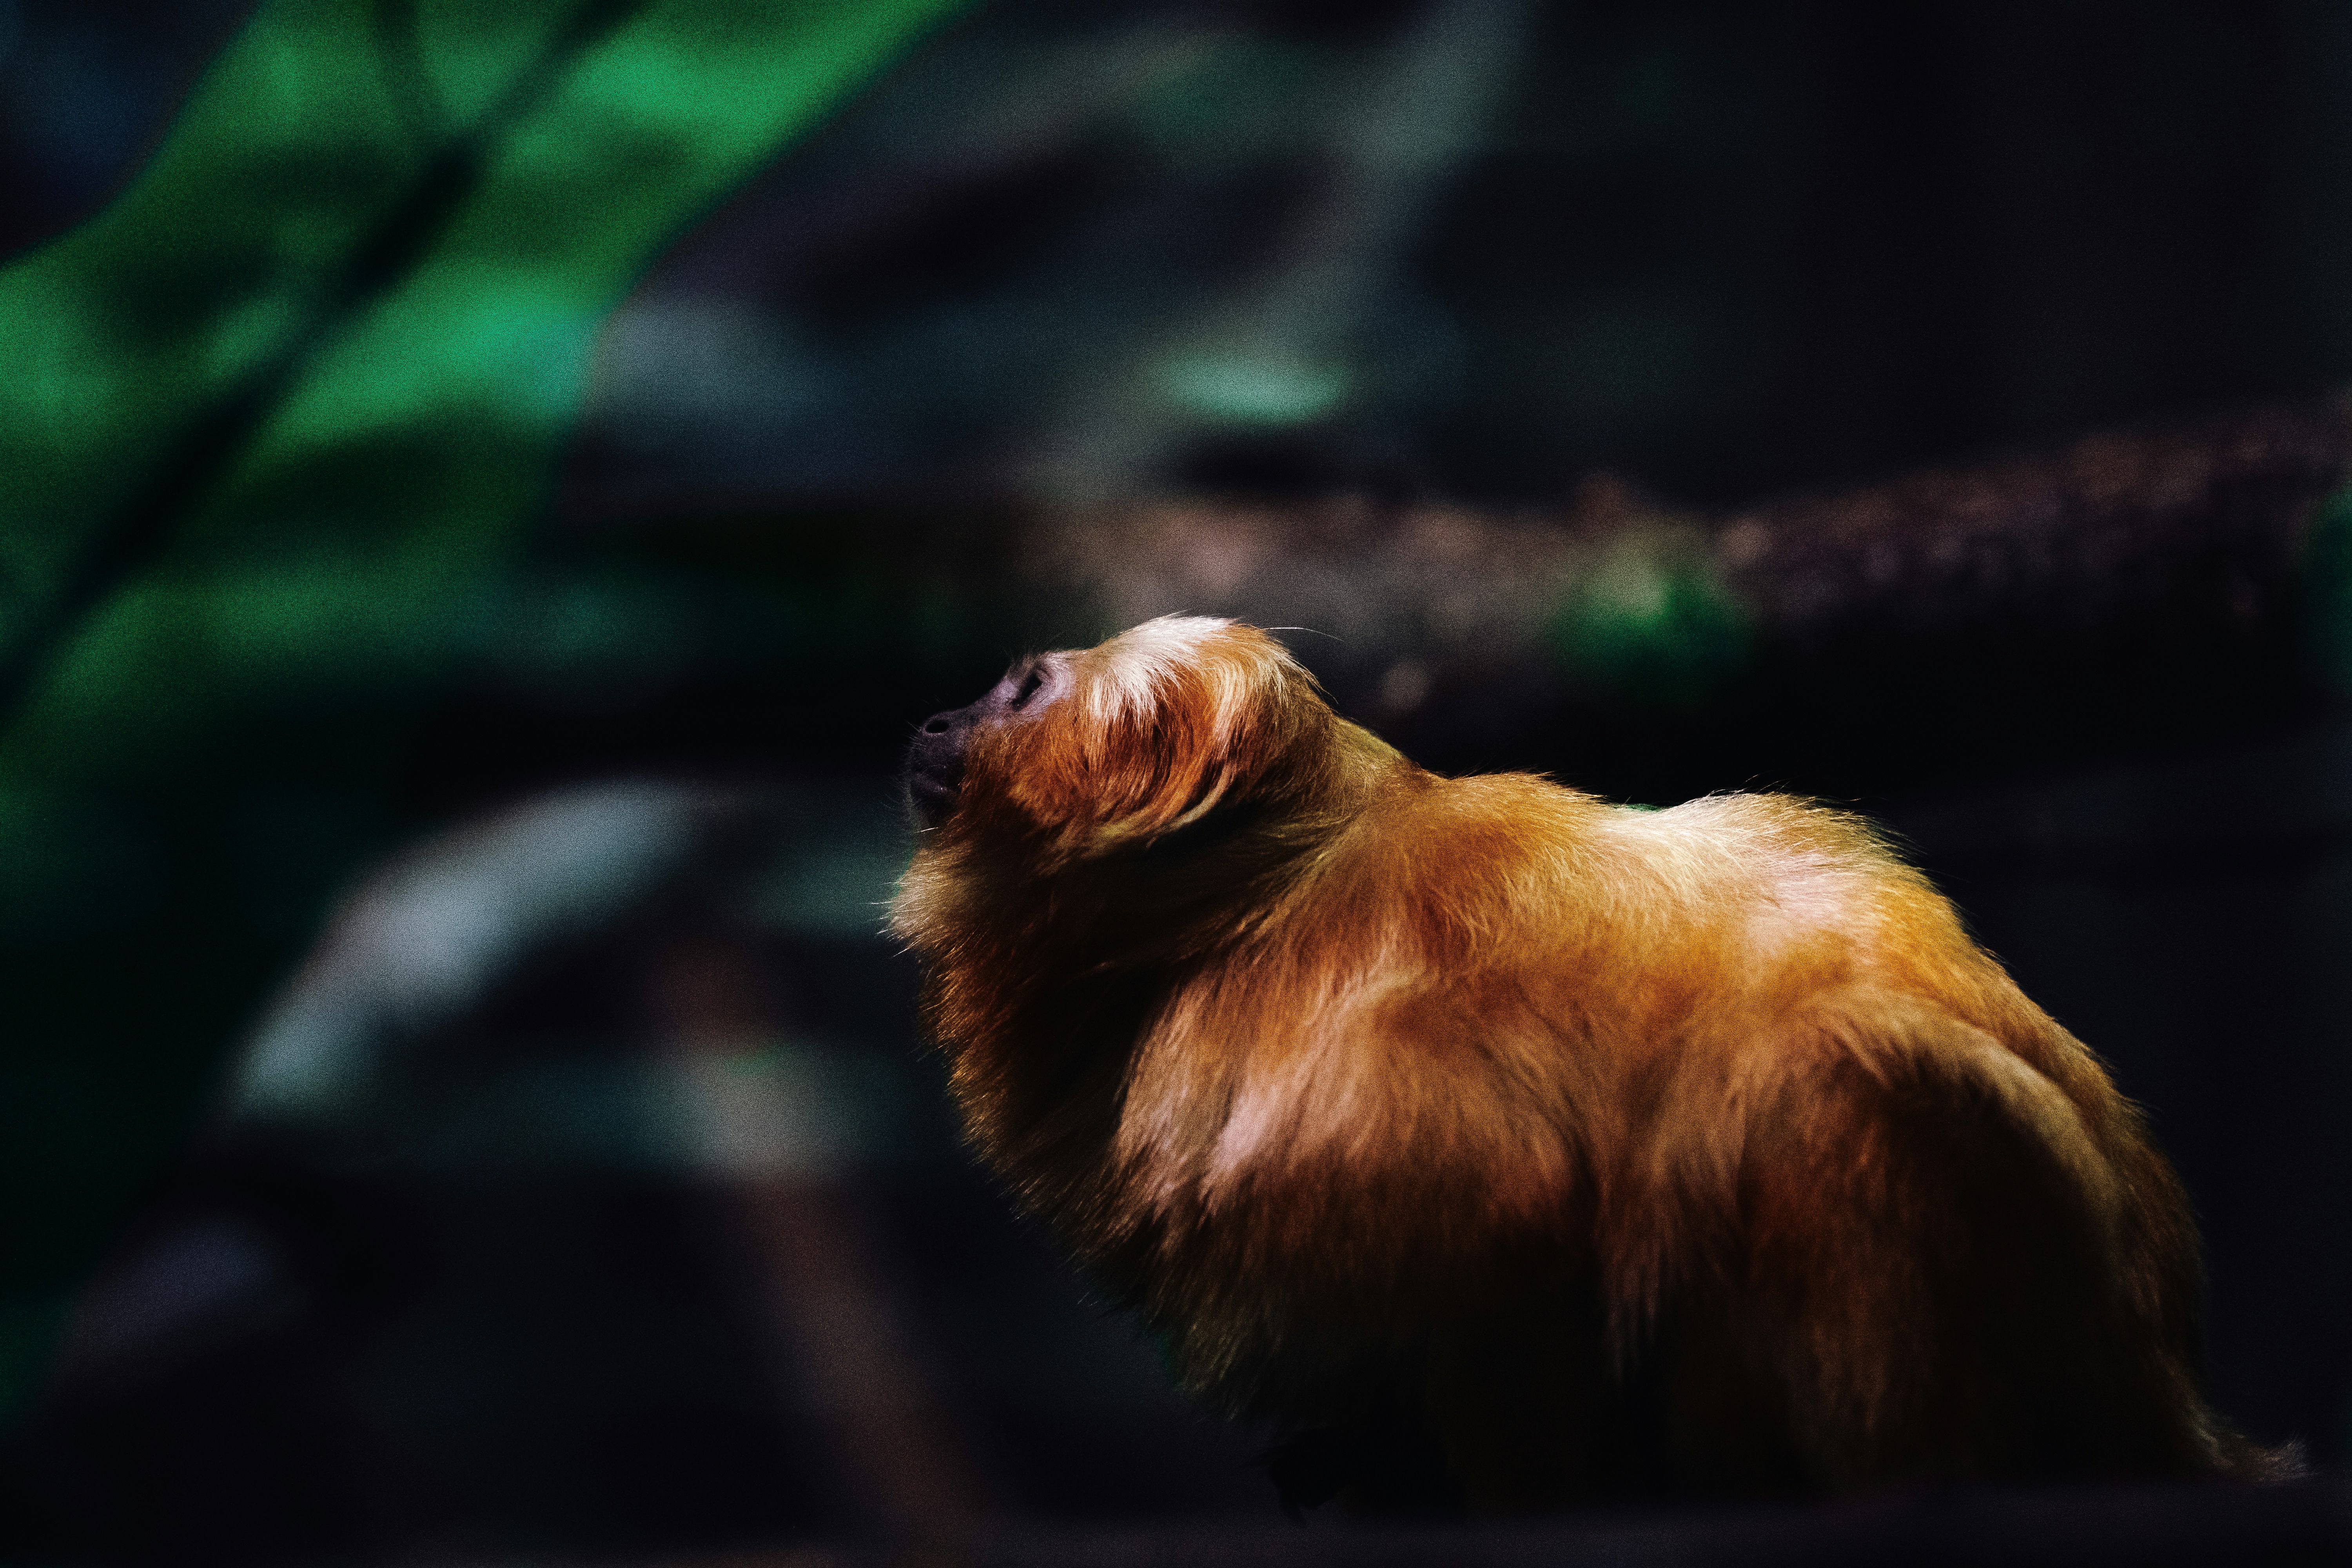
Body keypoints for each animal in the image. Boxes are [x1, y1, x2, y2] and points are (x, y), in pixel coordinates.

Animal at [890, 615, 2290, 1512]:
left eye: (1021, 692)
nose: (937, 715)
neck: (1243, 904)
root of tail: (2158, 1375)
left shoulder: (1370, 1062)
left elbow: (1506, 1229)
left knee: (1823, 1075)